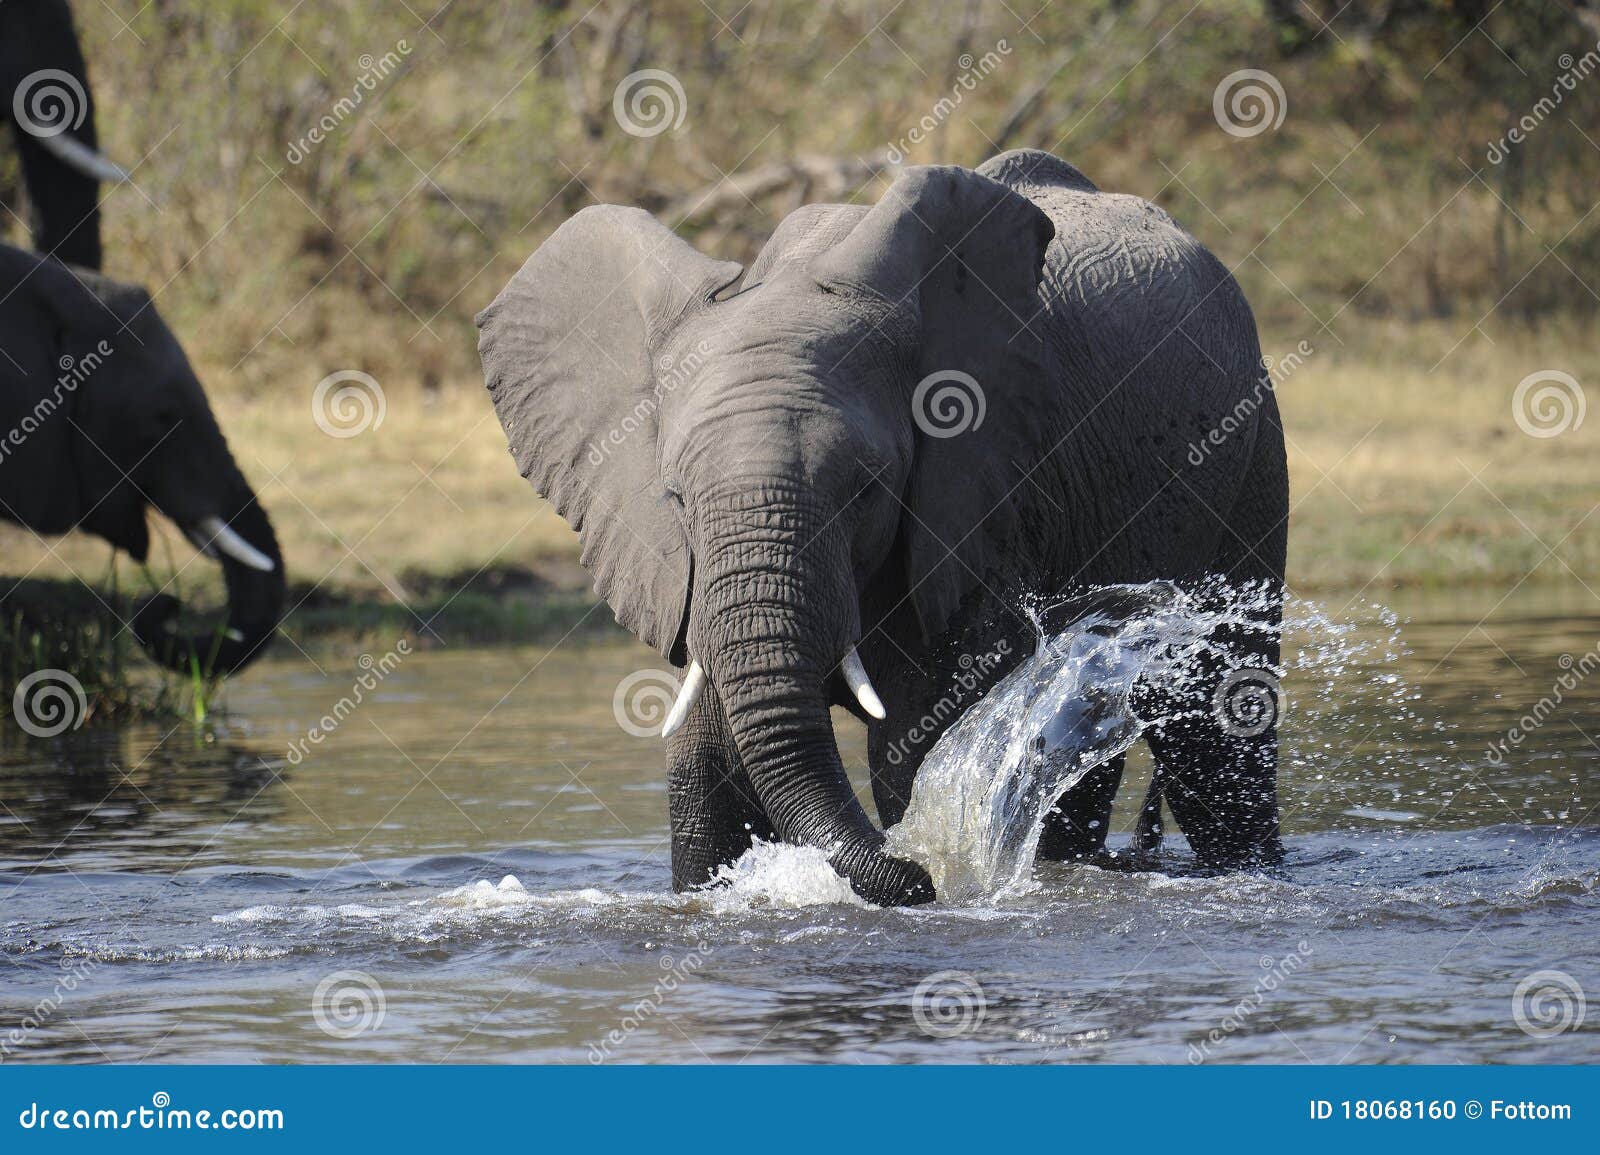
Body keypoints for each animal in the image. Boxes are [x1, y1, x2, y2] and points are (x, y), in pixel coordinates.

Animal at [478, 148, 1287, 906]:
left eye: (866, 489)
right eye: (675, 499)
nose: (923, 876)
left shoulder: (983, 498)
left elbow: (916, 739)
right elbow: (707, 768)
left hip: (1255, 444)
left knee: (1220, 733)